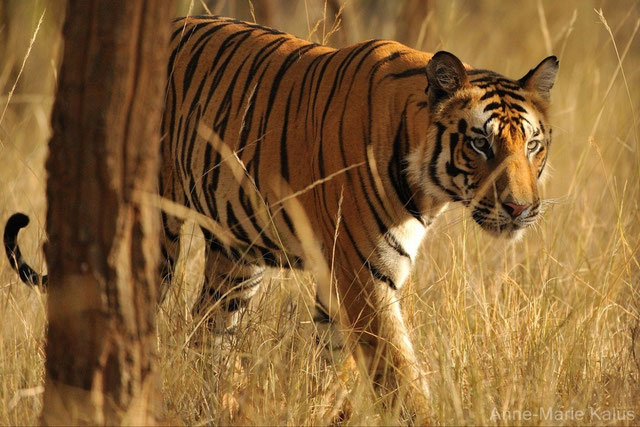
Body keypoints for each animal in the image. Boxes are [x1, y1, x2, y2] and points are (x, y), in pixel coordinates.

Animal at [4, 15, 558, 418]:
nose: (522, 208)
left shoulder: (345, 276)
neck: (428, 189)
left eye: (532, 145)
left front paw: (318, 411)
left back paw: (216, 403)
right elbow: (398, 371)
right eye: (480, 143)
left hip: (236, 257)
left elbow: (333, 364)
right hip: (153, 235)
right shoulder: (363, 275)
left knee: (206, 329)